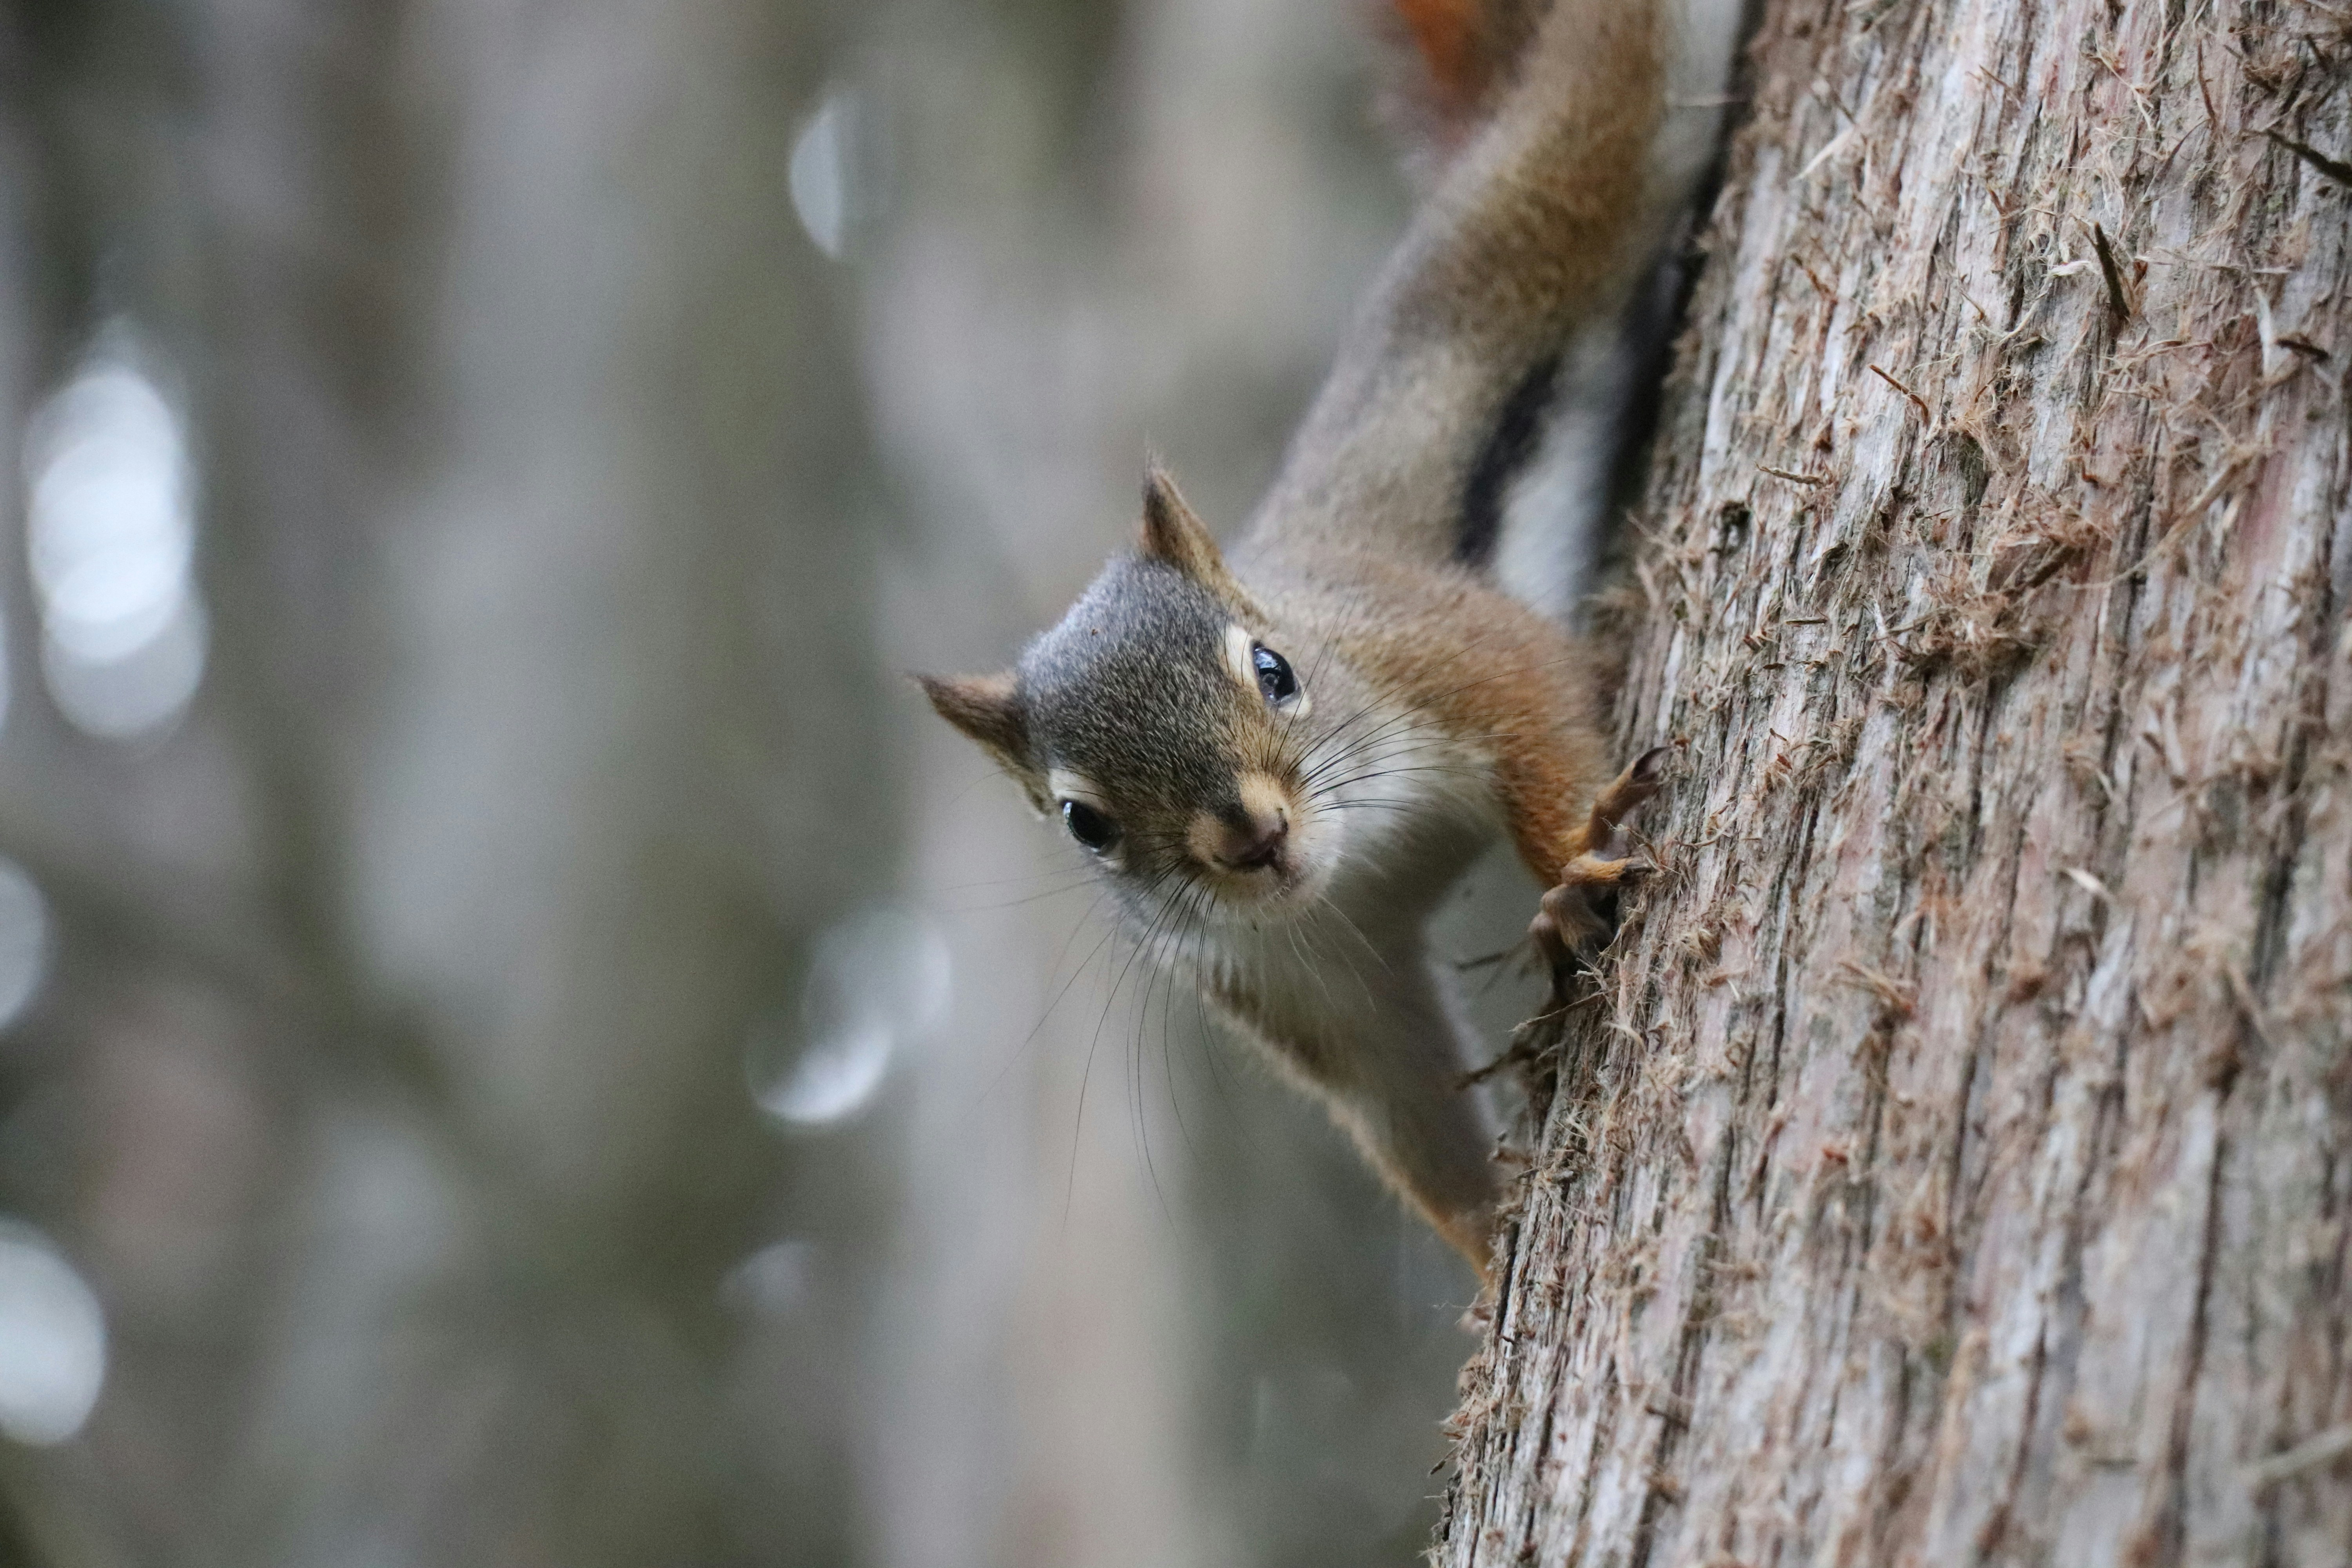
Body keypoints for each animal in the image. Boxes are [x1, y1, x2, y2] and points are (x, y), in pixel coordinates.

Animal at [921, 0, 1742, 1273]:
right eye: (1081, 822)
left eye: (1274, 670)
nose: (1251, 837)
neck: (1357, 856)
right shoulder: (1307, 988)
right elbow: (1402, 1107)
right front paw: (1487, 1248)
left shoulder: (1439, 650)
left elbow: (1532, 705)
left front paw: (1572, 870)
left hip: (1579, 161)